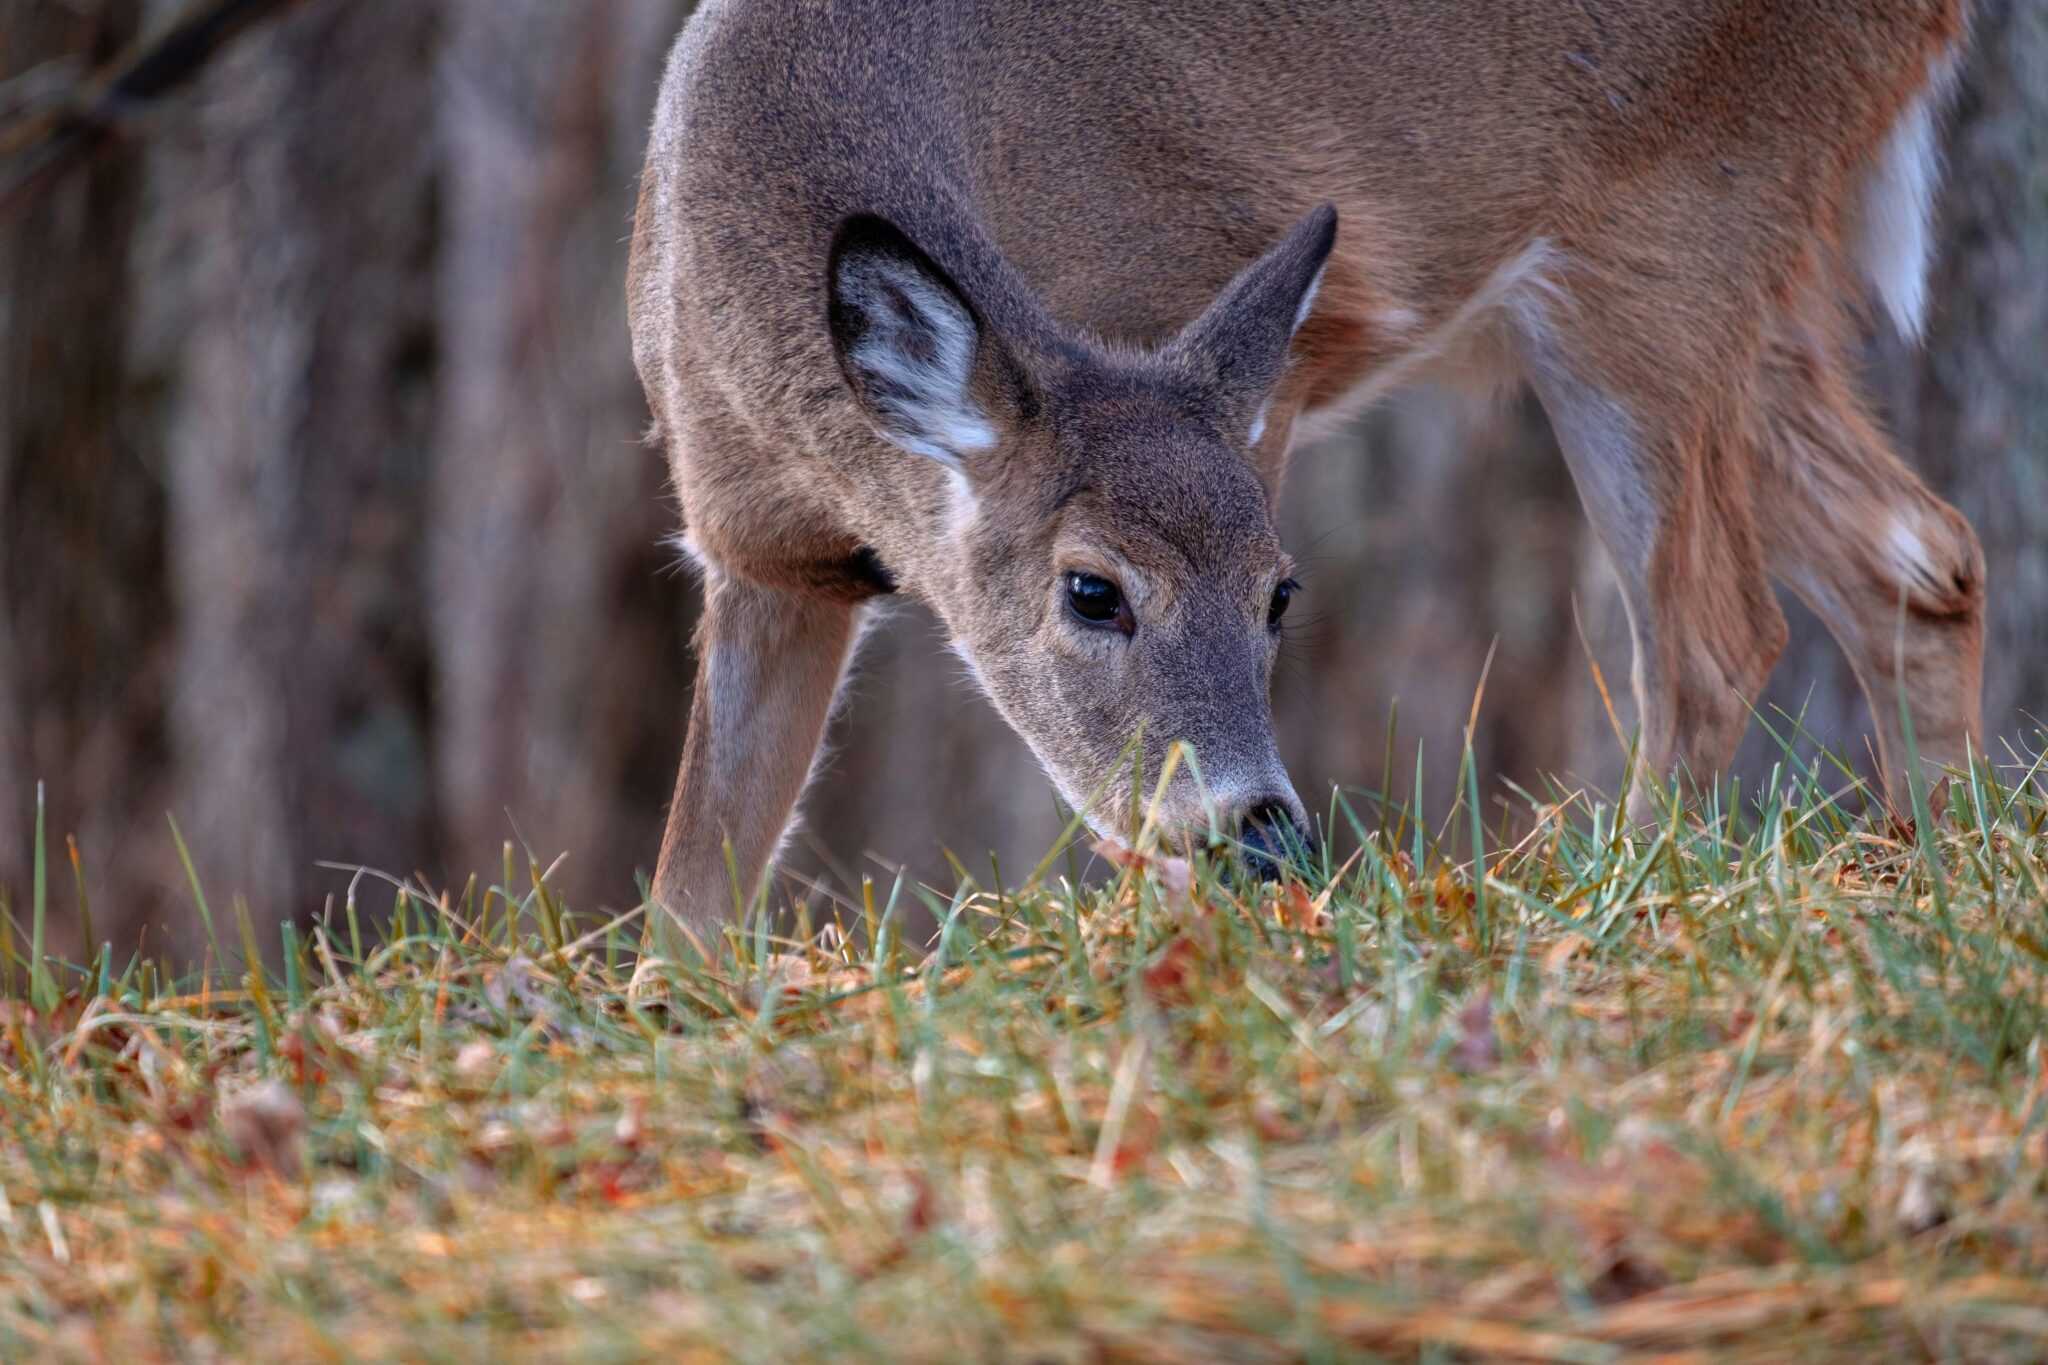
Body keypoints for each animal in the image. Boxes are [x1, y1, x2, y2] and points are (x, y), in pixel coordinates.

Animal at [627, 0, 1984, 935]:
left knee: (1717, 630)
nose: (1263, 833)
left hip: (1666, 237)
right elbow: (694, 880)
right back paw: (1933, 860)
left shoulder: (1248, 342)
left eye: (1279, 593)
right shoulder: (759, 554)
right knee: (1922, 554)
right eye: (1090, 590)